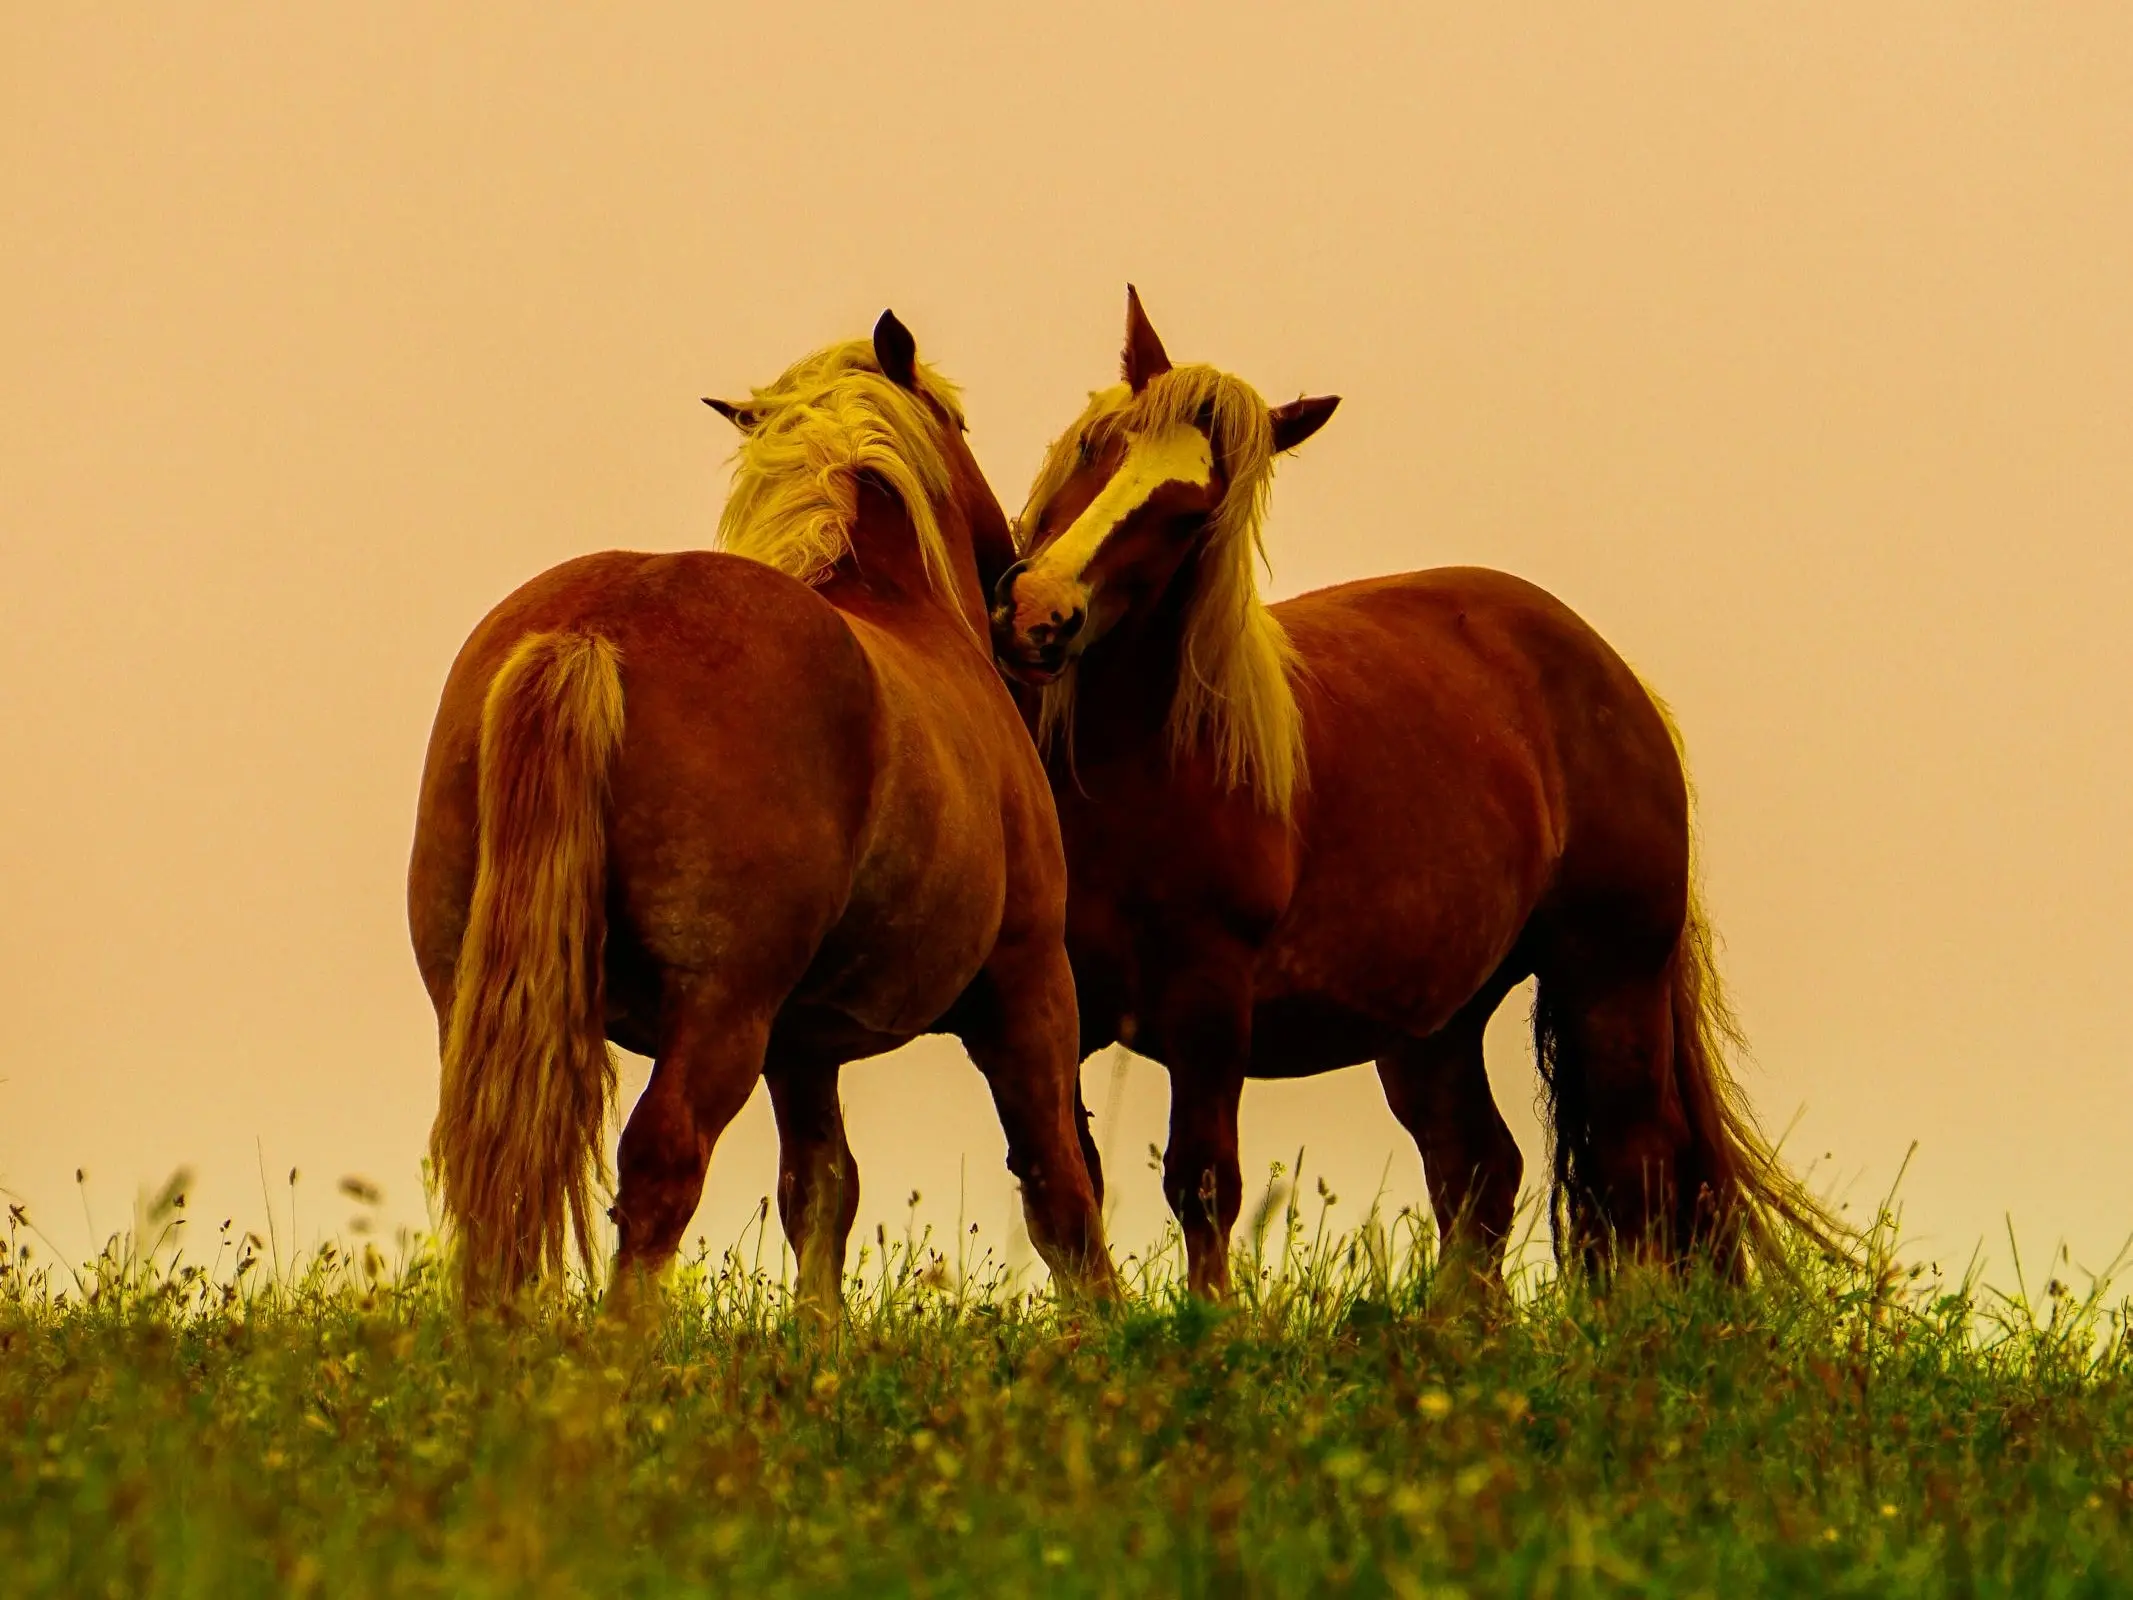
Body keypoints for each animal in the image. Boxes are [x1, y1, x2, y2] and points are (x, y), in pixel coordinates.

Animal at [408, 311, 1114, 1307]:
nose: (1028, 607)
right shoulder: (1029, 984)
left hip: (471, 995)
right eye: (959, 422)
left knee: (493, 1168)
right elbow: (1060, 1188)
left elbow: (819, 1194)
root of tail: (590, 630)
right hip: (720, 1011)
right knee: (660, 1166)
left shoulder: (802, 1044)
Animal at [991, 286, 1844, 1295]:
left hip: (1610, 977)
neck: (1129, 777)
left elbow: (1202, 1185)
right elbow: (1061, 1188)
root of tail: (1616, 680)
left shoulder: (1209, 1007)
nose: (1038, 613)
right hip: (1433, 1026)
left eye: (1191, 515)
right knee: (1478, 1170)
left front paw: (1209, 1319)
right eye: (1098, 446)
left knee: (1636, 1164)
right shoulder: (1057, 1007)